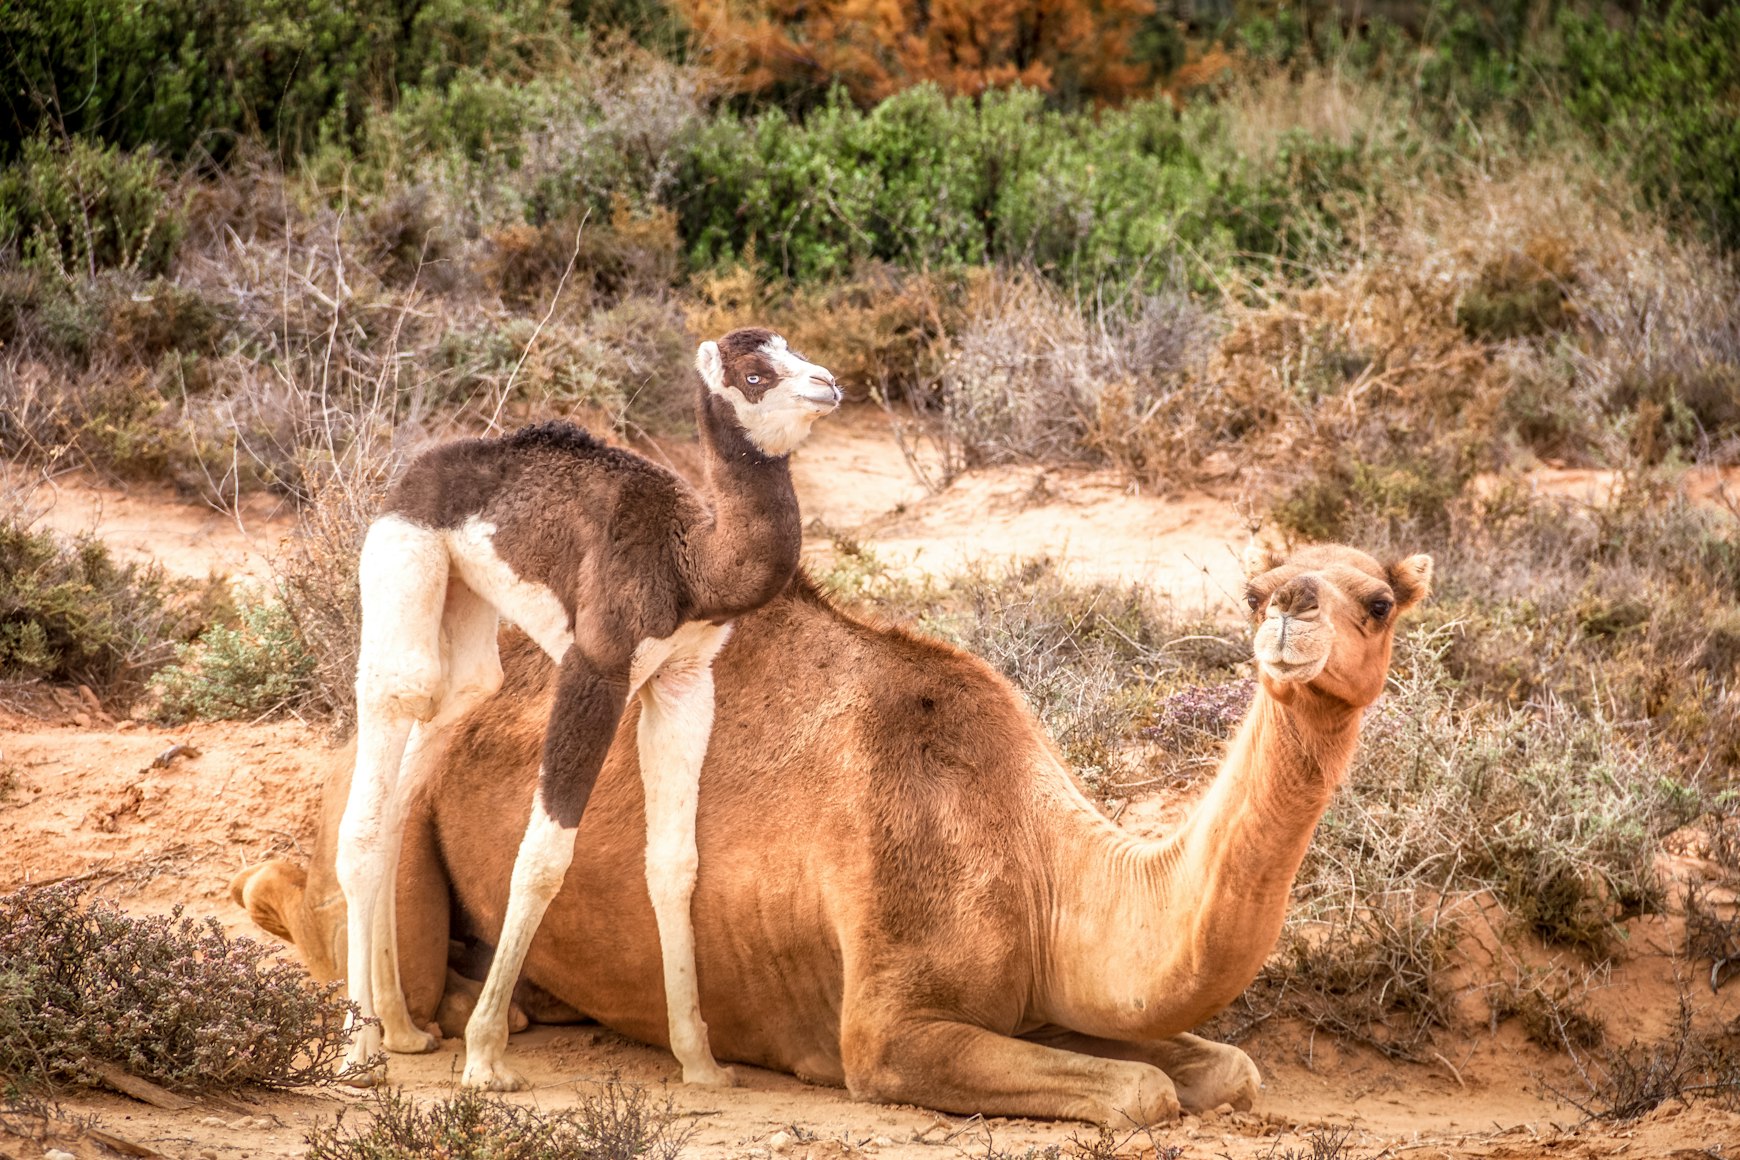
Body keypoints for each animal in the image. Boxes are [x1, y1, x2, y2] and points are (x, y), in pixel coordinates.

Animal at [237, 541, 1431, 1124]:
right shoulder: (888, 1028)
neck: (1041, 856)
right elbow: (1142, 1093)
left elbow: (1223, 1068)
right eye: (1255, 590)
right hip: (397, 802)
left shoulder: (1042, 996)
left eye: (1379, 600)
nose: (1293, 617)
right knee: (342, 918)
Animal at [338, 328, 839, 1090]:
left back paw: (401, 1029)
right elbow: (543, 857)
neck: (691, 565)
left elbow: (674, 865)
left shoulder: (685, 681)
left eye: (794, 348)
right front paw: (486, 1058)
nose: (828, 385)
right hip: (403, 570)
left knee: (427, 755)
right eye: (755, 373)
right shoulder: (596, 670)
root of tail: (415, 470)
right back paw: (356, 1048)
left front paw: (701, 1062)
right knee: (381, 758)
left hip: (467, 630)